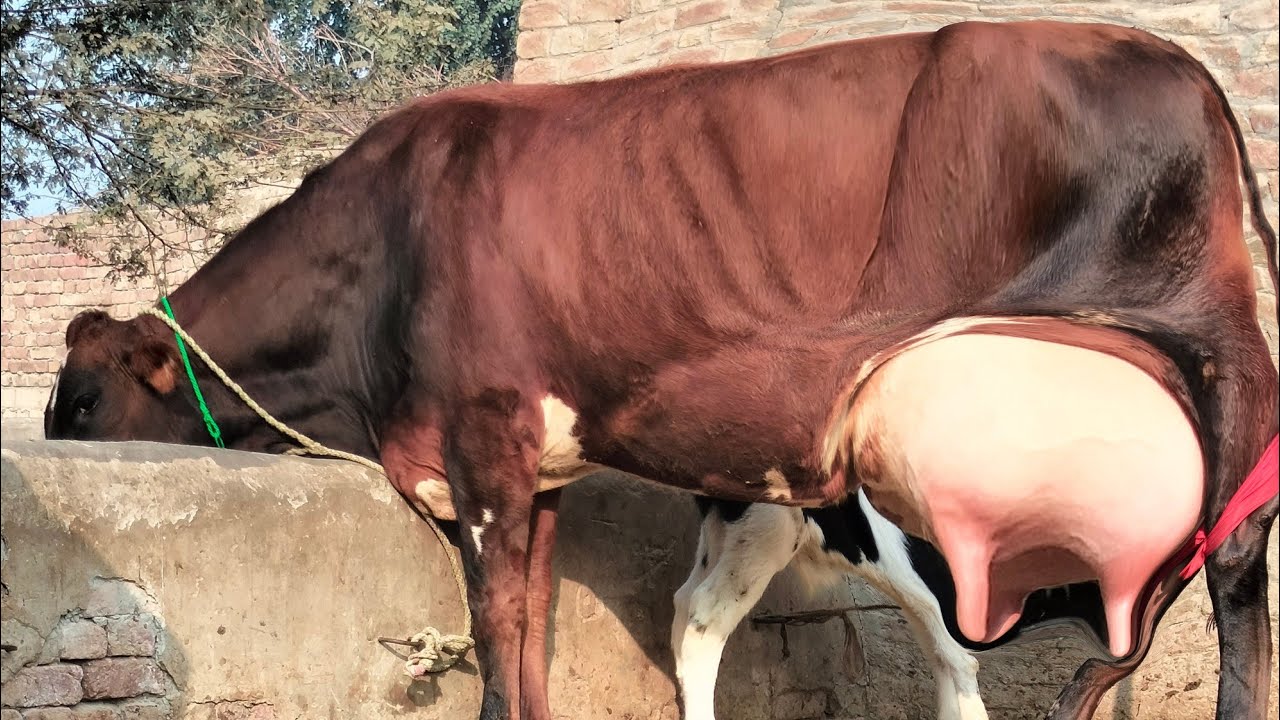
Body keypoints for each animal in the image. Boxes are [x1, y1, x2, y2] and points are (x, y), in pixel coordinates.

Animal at [44, 20, 1278, 720]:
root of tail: (1174, 60)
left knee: (1210, 557)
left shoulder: (485, 442)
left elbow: (495, 634)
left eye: (86, 398)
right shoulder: (535, 471)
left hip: (1179, 350)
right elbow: (531, 636)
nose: (49, 438)